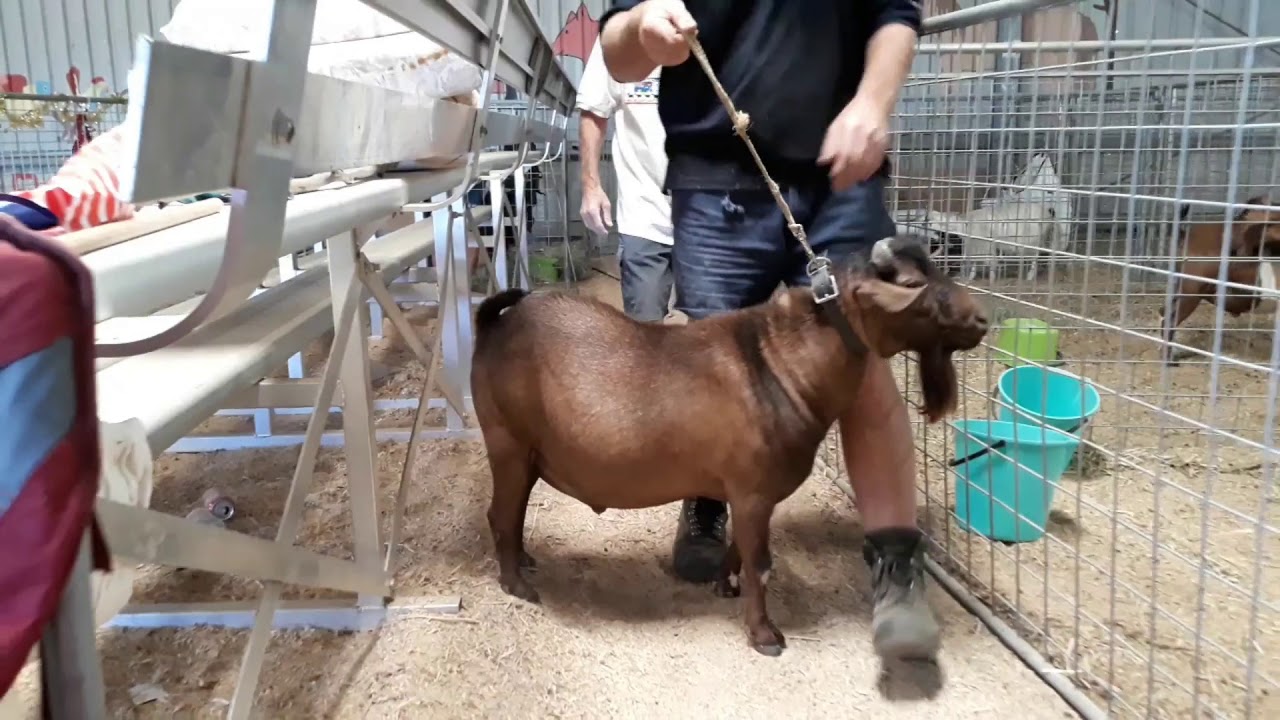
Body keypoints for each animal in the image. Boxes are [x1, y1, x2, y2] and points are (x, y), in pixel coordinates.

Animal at [469, 236, 989, 656]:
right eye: (914, 284)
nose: (981, 319)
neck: (782, 366)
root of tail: (493, 324)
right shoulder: (754, 490)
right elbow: (761, 564)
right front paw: (765, 636)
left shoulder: (748, 494)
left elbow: (740, 547)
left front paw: (725, 585)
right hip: (507, 442)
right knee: (500, 514)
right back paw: (517, 584)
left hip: (529, 455)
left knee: (514, 512)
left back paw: (526, 560)